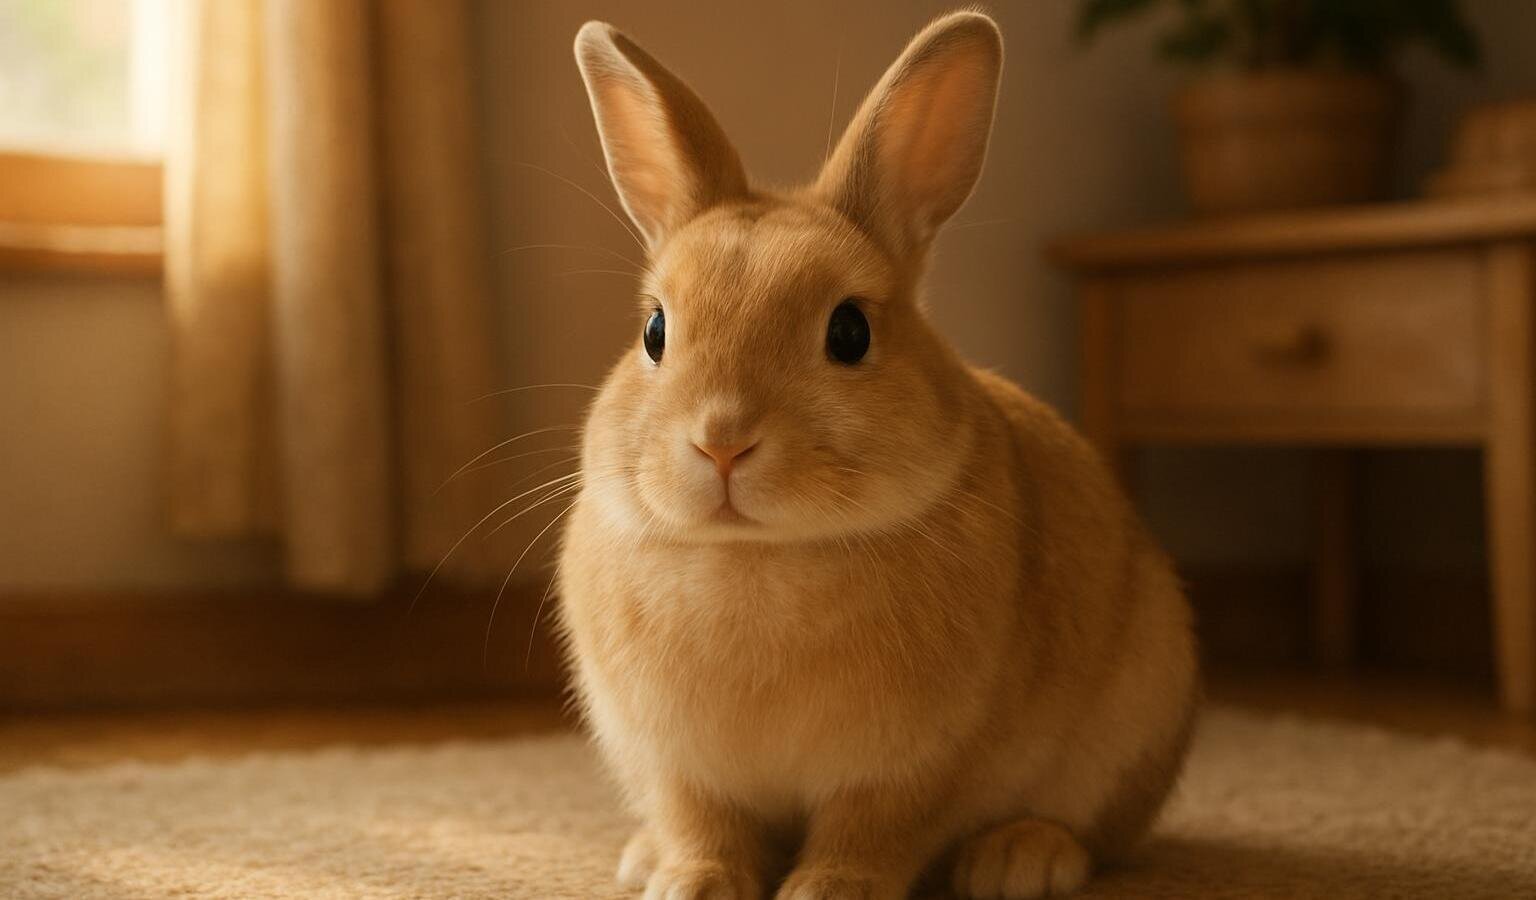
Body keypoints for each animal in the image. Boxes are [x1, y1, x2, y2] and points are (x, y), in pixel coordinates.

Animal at [556, 10, 1198, 900]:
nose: (722, 441)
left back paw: (1022, 858)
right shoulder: (681, 767)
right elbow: (705, 824)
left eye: (850, 332)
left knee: (1100, 832)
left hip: (1136, 715)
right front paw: (694, 884)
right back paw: (644, 856)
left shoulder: (914, 767)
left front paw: (828, 890)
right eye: (655, 331)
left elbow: (871, 830)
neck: (756, 554)